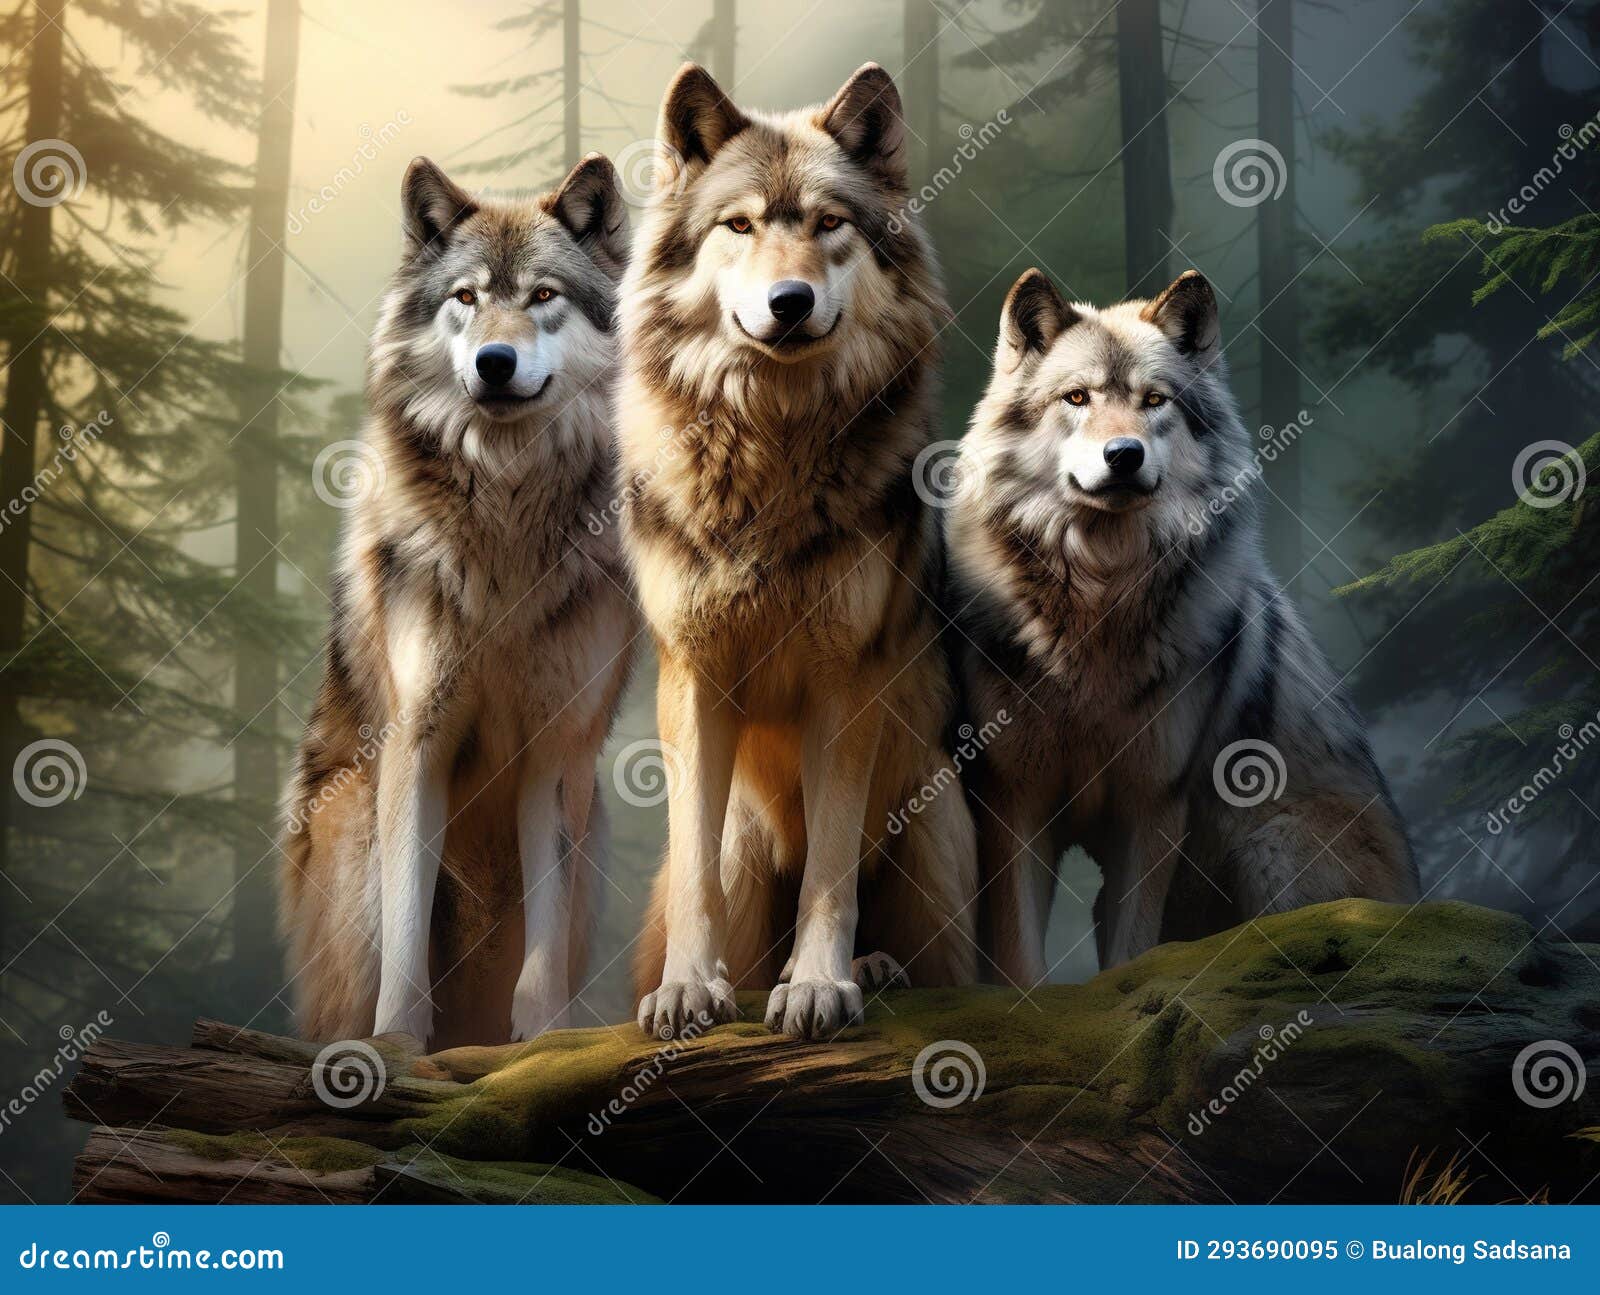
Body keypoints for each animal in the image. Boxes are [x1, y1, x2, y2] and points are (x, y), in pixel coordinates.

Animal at [278, 154, 638, 1048]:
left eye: (543, 295)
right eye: (467, 297)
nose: (496, 362)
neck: (507, 519)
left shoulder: (557, 755)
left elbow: (542, 958)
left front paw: (545, 1047)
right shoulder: (418, 741)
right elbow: (406, 942)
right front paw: (395, 1047)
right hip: (355, 843)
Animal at [618, 63, 978, 1041]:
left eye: (828, 224)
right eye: (740, 225)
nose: (791, 302)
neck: (772, 450)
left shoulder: (844, 681)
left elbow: (830, 867)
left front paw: (819, 984)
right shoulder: (693, 678)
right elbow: (696, 871)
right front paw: (686, 989)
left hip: (936, 819)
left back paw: (876, 970)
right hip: (748, 836)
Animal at [946, 267, 1417, 982]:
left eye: (1154, 401)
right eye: (1077, 398)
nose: (1123, 454)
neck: (1099, 604)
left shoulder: (1151, 808)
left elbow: (1131, 956)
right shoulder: (1015, 804)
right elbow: (1020, 961)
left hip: (1276, 841)